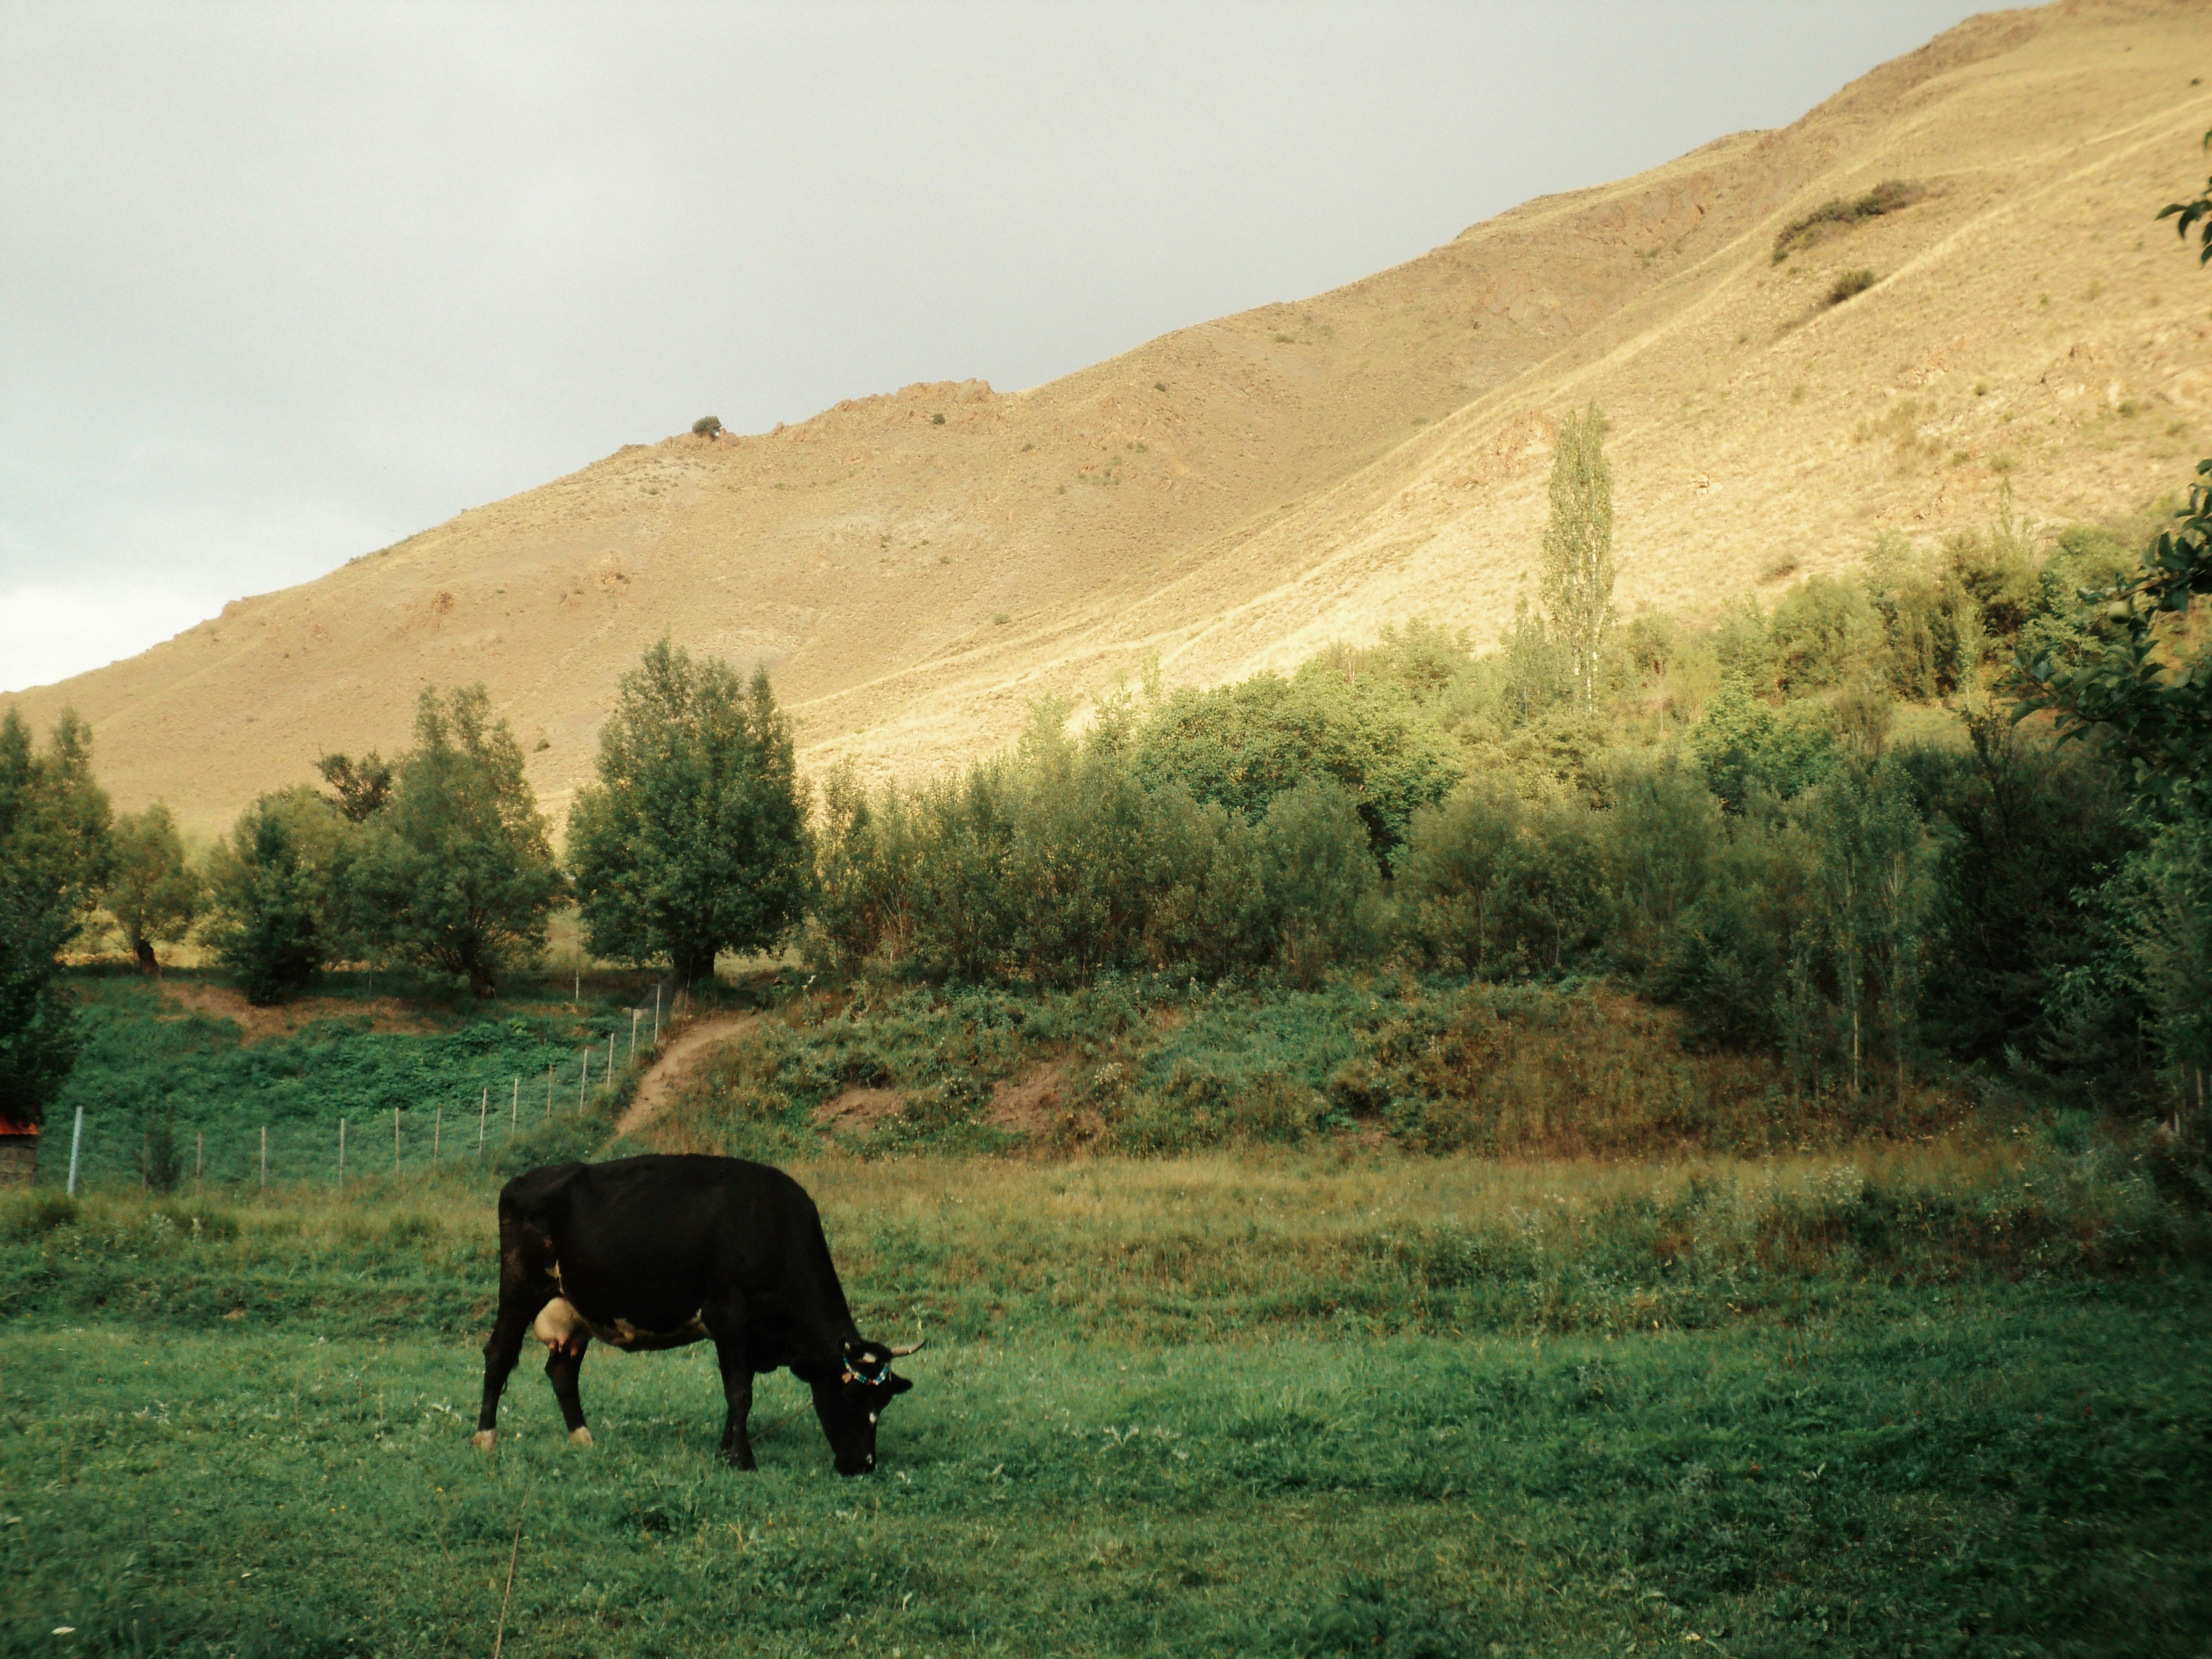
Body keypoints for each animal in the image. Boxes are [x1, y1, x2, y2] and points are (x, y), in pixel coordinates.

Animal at [471, 1154, 921, 1474]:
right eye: (848, 1395)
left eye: (884, 1402)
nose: (864, 1466)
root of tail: (523, 1180)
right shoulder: (729, 1315)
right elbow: (740, 1392)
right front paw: (742, 1460)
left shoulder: (746, 1333)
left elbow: (737, 1390)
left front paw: (725, 1451)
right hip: (520, 1289)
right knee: (499, 1355)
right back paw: (486, 1440)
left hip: (575, 1310)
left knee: (562, 1371)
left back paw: (583, 1439)